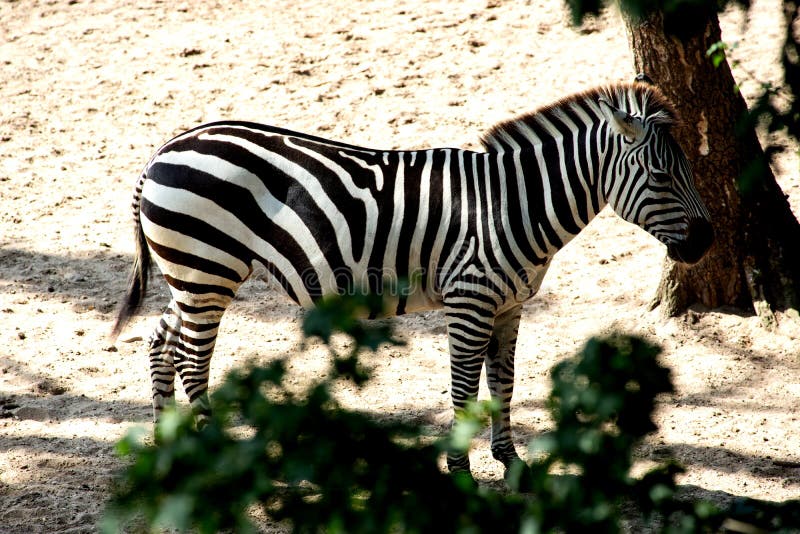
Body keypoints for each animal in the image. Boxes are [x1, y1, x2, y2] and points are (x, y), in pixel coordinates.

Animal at [111, 80, 713, 477]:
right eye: (661, 175)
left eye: (687, 169)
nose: (708, 241)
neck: (512, 204)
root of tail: (163, 151)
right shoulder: (470, 302)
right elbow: (464, 389)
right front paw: (462, 472)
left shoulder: (510, 305)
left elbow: (504, 384)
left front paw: (511, 463)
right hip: (208, 269)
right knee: (192, 358)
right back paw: (209, 451)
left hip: (191, 275)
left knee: (161, 339)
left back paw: (170, 447)